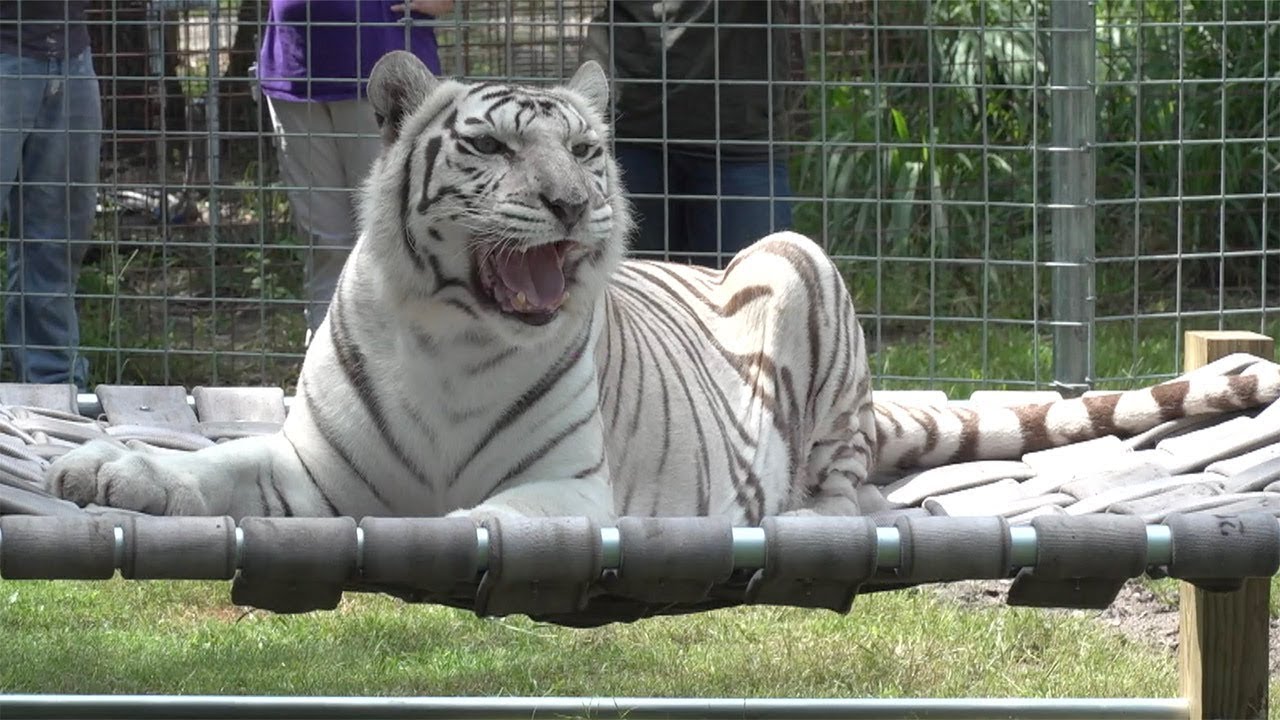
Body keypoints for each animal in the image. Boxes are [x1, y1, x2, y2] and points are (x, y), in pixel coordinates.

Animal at [45, 50, 1280, 526]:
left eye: (588, 152)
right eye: (491, 147)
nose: (569, 205)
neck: (451, 339)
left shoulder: (566, 492)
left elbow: (480, 520)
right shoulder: (308, 471)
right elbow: (212, 468)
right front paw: (107, 470)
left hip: (793, 257)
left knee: (845, 481)